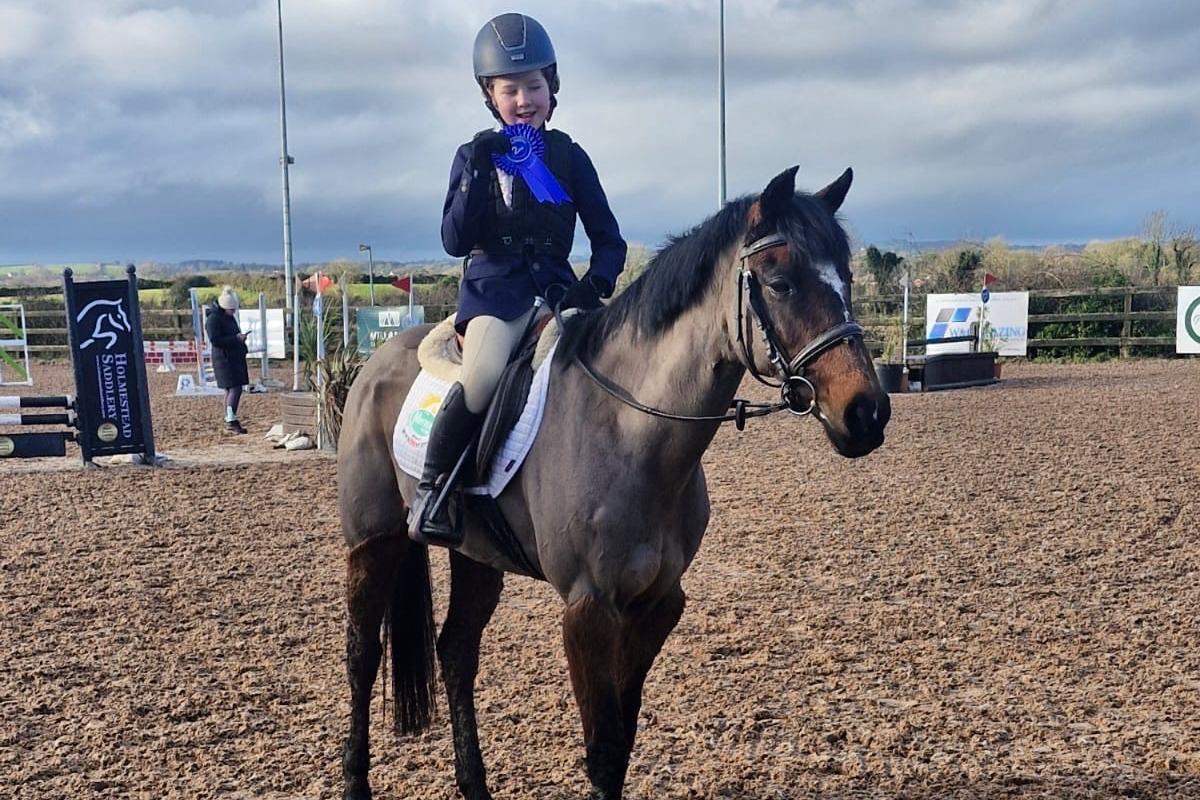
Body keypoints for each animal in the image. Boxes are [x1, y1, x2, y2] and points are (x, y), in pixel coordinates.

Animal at [336, 166, 891, 800]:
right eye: (781, 282)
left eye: (846, 277)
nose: (867, 413)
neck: (630, 428)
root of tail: (375, 364)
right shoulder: (588, 609)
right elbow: (602, 752)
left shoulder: (656, 604)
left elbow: (621, 746)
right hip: (374, 542)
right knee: (363, 654)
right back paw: (355, 782)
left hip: (476, 553)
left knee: (455, 651)